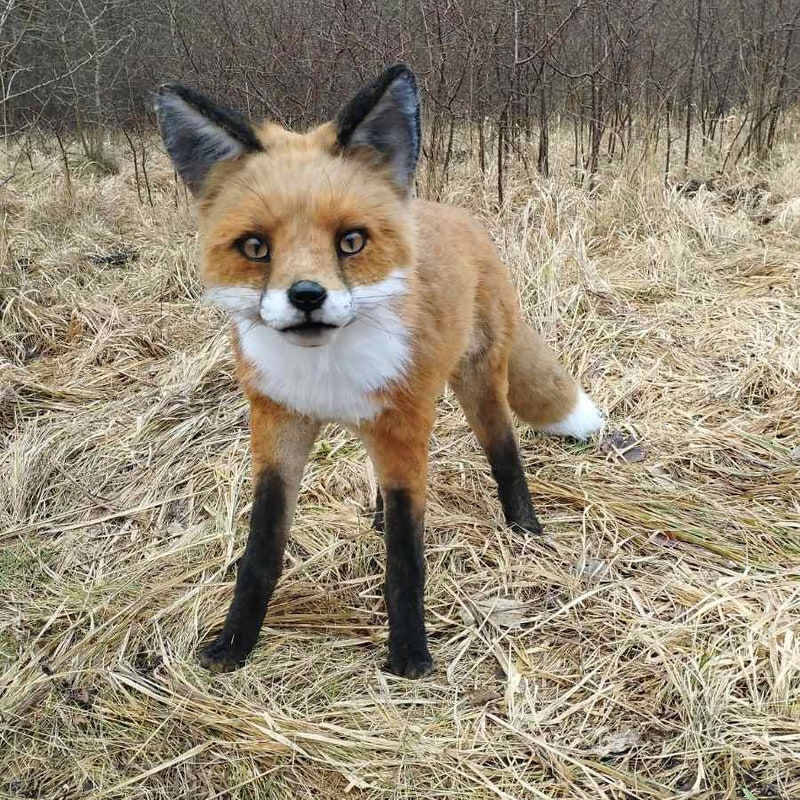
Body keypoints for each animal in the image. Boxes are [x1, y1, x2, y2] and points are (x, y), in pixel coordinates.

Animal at [154, 65, 603, 679]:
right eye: (255, 248)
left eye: (351, 241)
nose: (307, 296)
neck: (325, 375)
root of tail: (450, 212)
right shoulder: (277, 424)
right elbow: (260, 554)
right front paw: (232, 646)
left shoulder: (402, 427)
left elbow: (405, 558)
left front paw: (410, 657)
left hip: (478, 389)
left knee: (506, 455)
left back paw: (524, 529)